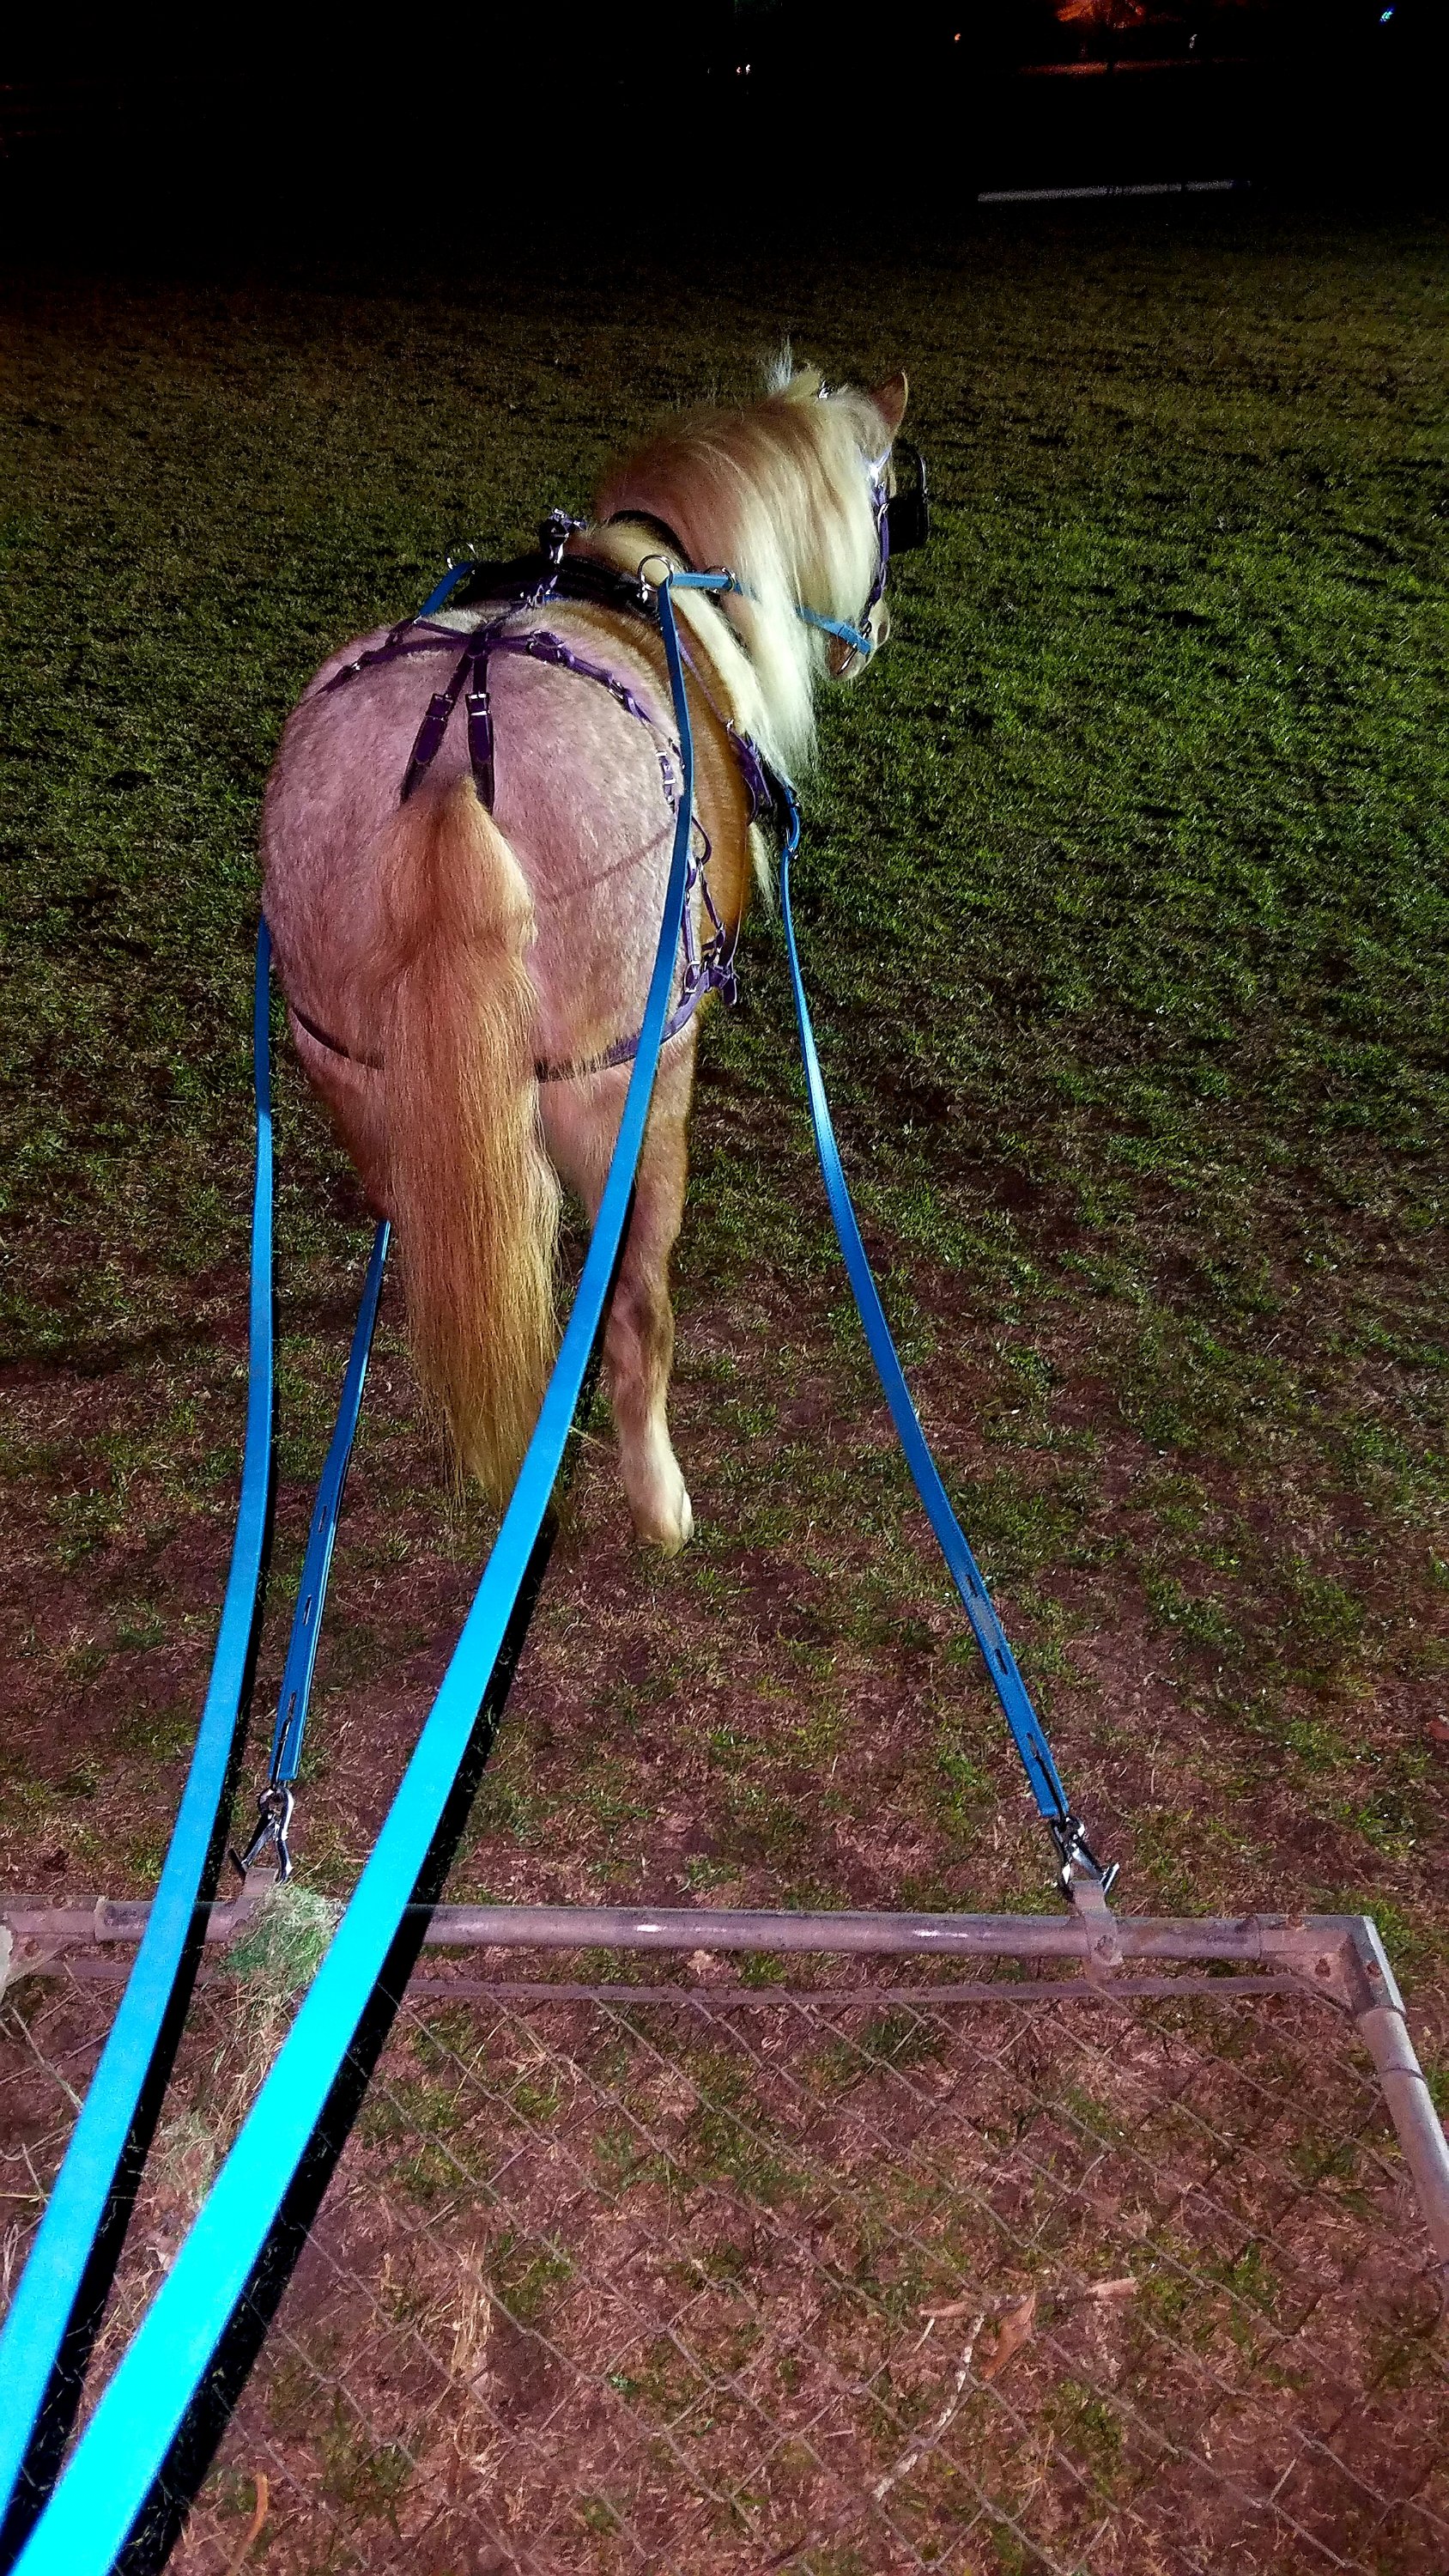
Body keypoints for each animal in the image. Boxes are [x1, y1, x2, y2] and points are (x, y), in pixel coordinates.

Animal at [260, 360, 909, 1553]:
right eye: (888, 503)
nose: (870, 635)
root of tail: (453, 753)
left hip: (354, 1073)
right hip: (624, 1095)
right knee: (637, 1307)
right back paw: (658, 1497)